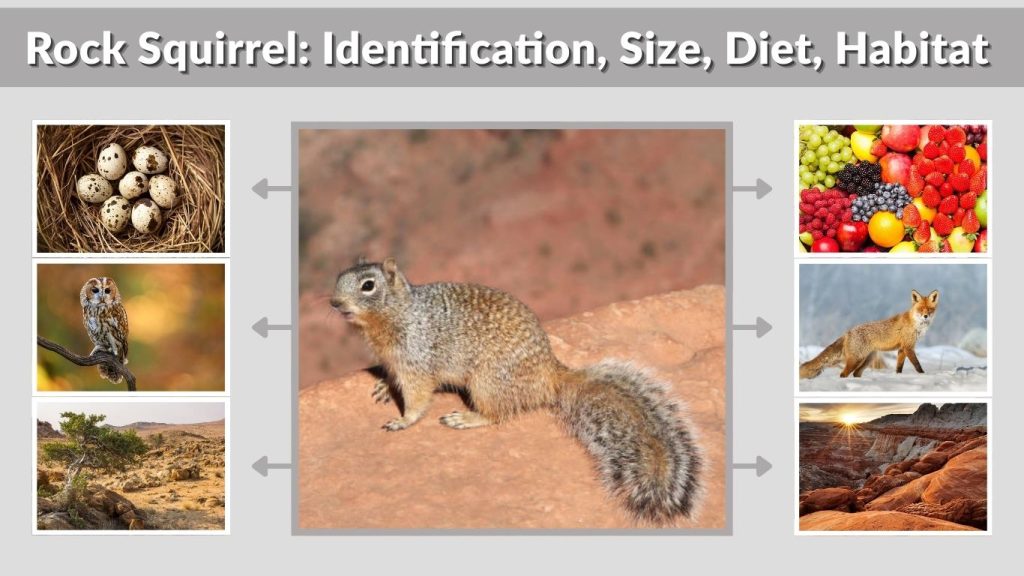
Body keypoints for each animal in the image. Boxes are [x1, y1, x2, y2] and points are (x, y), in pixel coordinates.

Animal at [330, 257, 702, 524]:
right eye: (338, 276)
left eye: (367, 285)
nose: (333, 302)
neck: (399, 312)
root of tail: (550, 374)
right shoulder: (393, 360)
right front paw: (382, 386)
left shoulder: (416, 362)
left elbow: (418, 399)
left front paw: (402, 420)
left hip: (486, 383)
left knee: (496, 415)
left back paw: (465, 419)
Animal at [800, 289, 939, 379]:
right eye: (920, 309)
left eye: (930, 309)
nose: (926, 316)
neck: (916, 324)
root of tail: (848, 332)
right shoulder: (908, 347)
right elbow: (917, 364)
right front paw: (923, 375)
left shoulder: (902, 348)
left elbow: (899, 367)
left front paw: (898, 377)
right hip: (856, 359)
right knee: (843, 374)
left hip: (868, 359)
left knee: (856, 373)